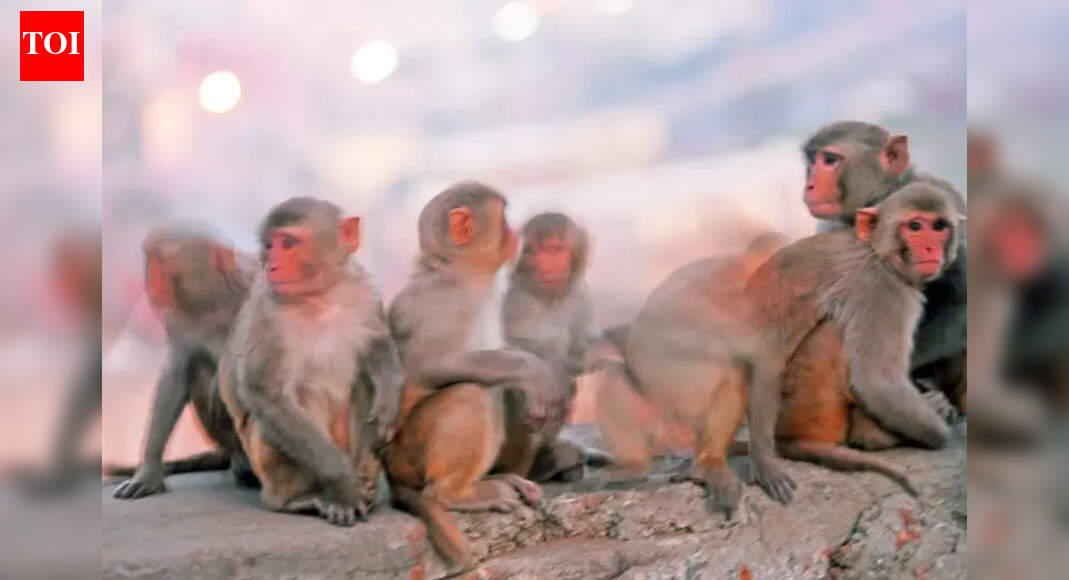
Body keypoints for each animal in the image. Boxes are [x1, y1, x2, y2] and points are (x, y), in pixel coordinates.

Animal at [110, 225, 256, 499]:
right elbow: (176, 375)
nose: (150, 283)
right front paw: (148, 474)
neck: (215, 300)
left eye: (163, 262)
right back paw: (243, 464)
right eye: (150, 258)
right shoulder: (177, 318)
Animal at [217, 197, 404, 526]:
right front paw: (343, 486)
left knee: (363, 379)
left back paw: (367, 483)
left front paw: (388, 404)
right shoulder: (266, 316)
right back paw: (300, 499)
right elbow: (267, 394)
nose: (272, 265)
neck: (319, 297)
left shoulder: (363, 289)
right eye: (270, 245)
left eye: (288, 243)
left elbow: (377, 344)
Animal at [384, 182, 555, 574]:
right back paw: (458, 494)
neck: (465, 274)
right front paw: (531, 368)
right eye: (504, 217)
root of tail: (391, 474)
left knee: (506, 394)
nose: (515, 232)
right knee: (473, 393)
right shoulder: (444, 302)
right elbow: (431, 365)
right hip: (408, 455)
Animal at [502, 212, 601, 482]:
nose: (543, 264)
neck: (549, 299)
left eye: (553, 249)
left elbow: (577, 355)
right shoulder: (515, 300)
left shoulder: (580, 298)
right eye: (532, 250)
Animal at [745, 182, 962, 503]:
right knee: (834, 332)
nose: (929, 248)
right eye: (914, 226)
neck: (877, 252)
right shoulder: (883, 290)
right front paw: (942, 431)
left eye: (938, 226)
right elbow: (878, 382)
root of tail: (786, 437)